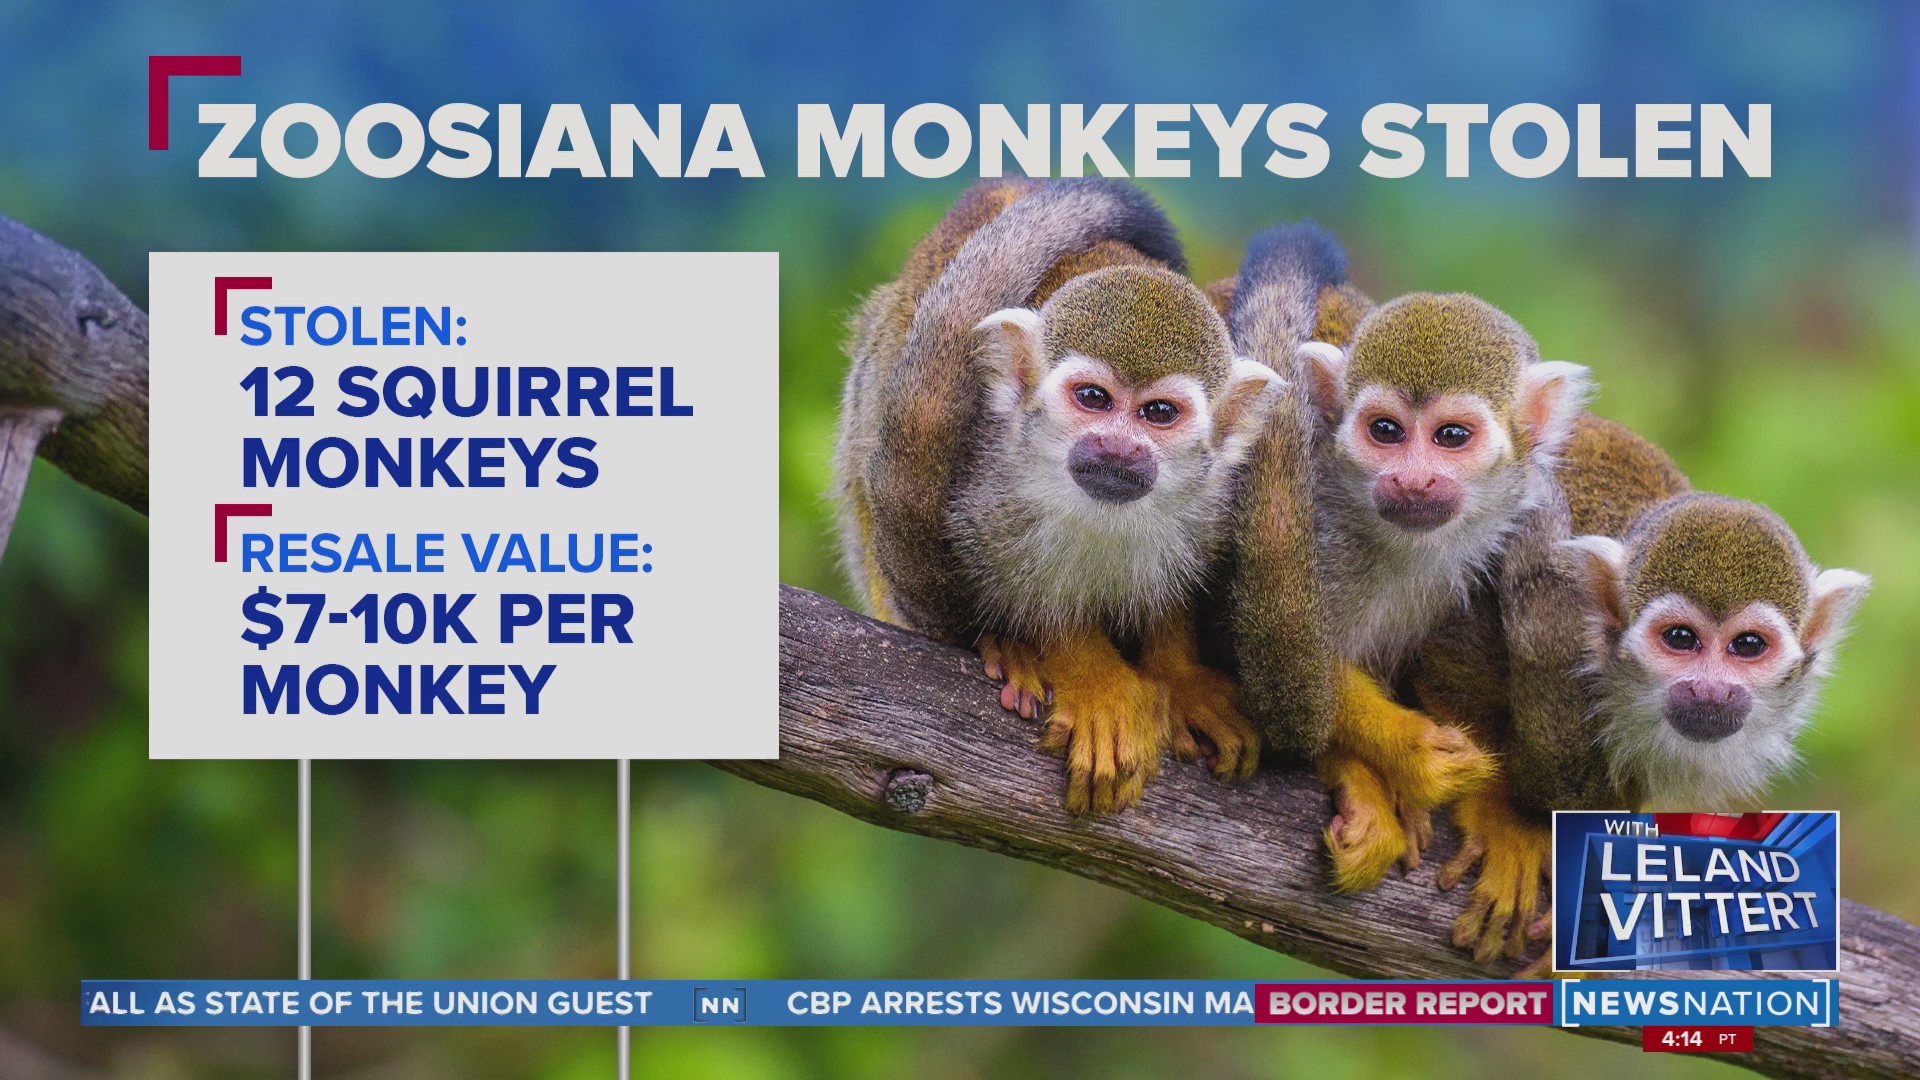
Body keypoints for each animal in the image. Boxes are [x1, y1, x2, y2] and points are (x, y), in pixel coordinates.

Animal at [835, 178, 1284, 816]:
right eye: (1092, 398)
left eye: (1159, 413)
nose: (1117, 449)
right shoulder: (985, 479)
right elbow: (1019, 589)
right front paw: (1088, 675)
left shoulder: (1218, 495)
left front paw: (1178, 676)